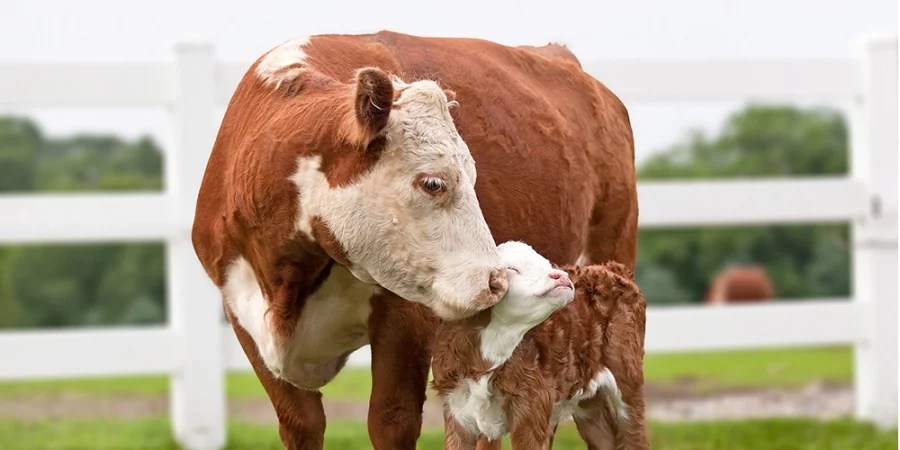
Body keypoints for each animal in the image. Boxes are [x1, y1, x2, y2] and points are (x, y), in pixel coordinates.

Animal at [191, 31, 637, 449]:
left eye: (473, 176)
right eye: (433, 182)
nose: (495, 281)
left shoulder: (407, 318)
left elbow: (391, 421)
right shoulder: (243, 317)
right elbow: (301, 424)